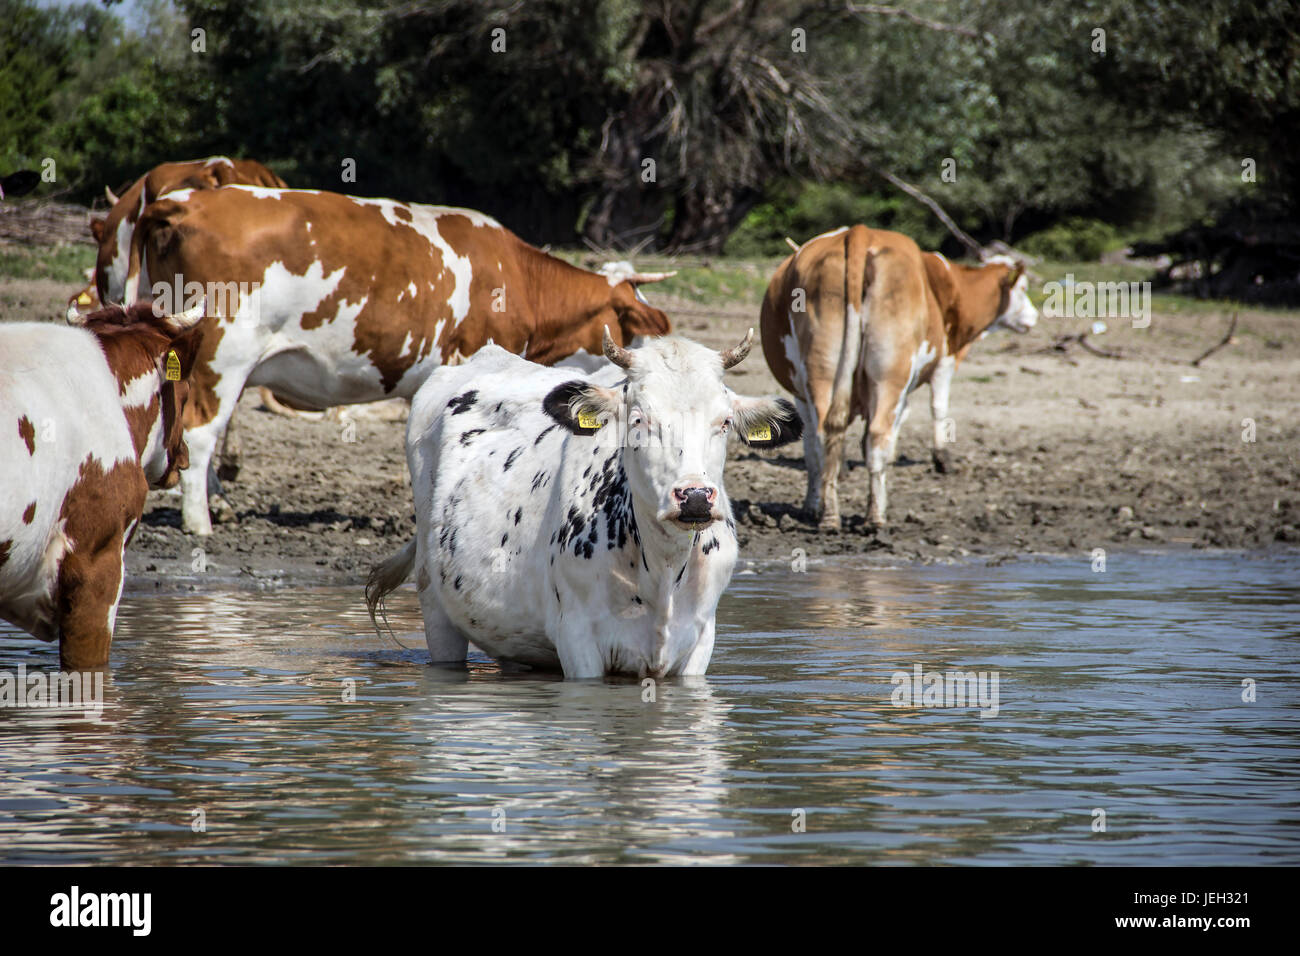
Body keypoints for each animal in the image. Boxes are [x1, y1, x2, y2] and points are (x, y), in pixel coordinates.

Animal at [365, 328, 802, 679]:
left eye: (724, 422)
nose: (694, 496)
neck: (662, 567)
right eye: (639, 419)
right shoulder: (577, 641)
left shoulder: (700, 641)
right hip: (434, 605)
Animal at [760, 225, 1038, 530]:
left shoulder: (801, 392)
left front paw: (811, 506)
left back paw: (830, 517)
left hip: (824, 372)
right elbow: (937, 409)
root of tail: (859, 232)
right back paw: (876, 517)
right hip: (892, 373)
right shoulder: (944, 362)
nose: (1034, 317)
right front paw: (942, 460)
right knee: (878, 433)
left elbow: (812, 449)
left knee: (826, 437)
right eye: (1023, 288)